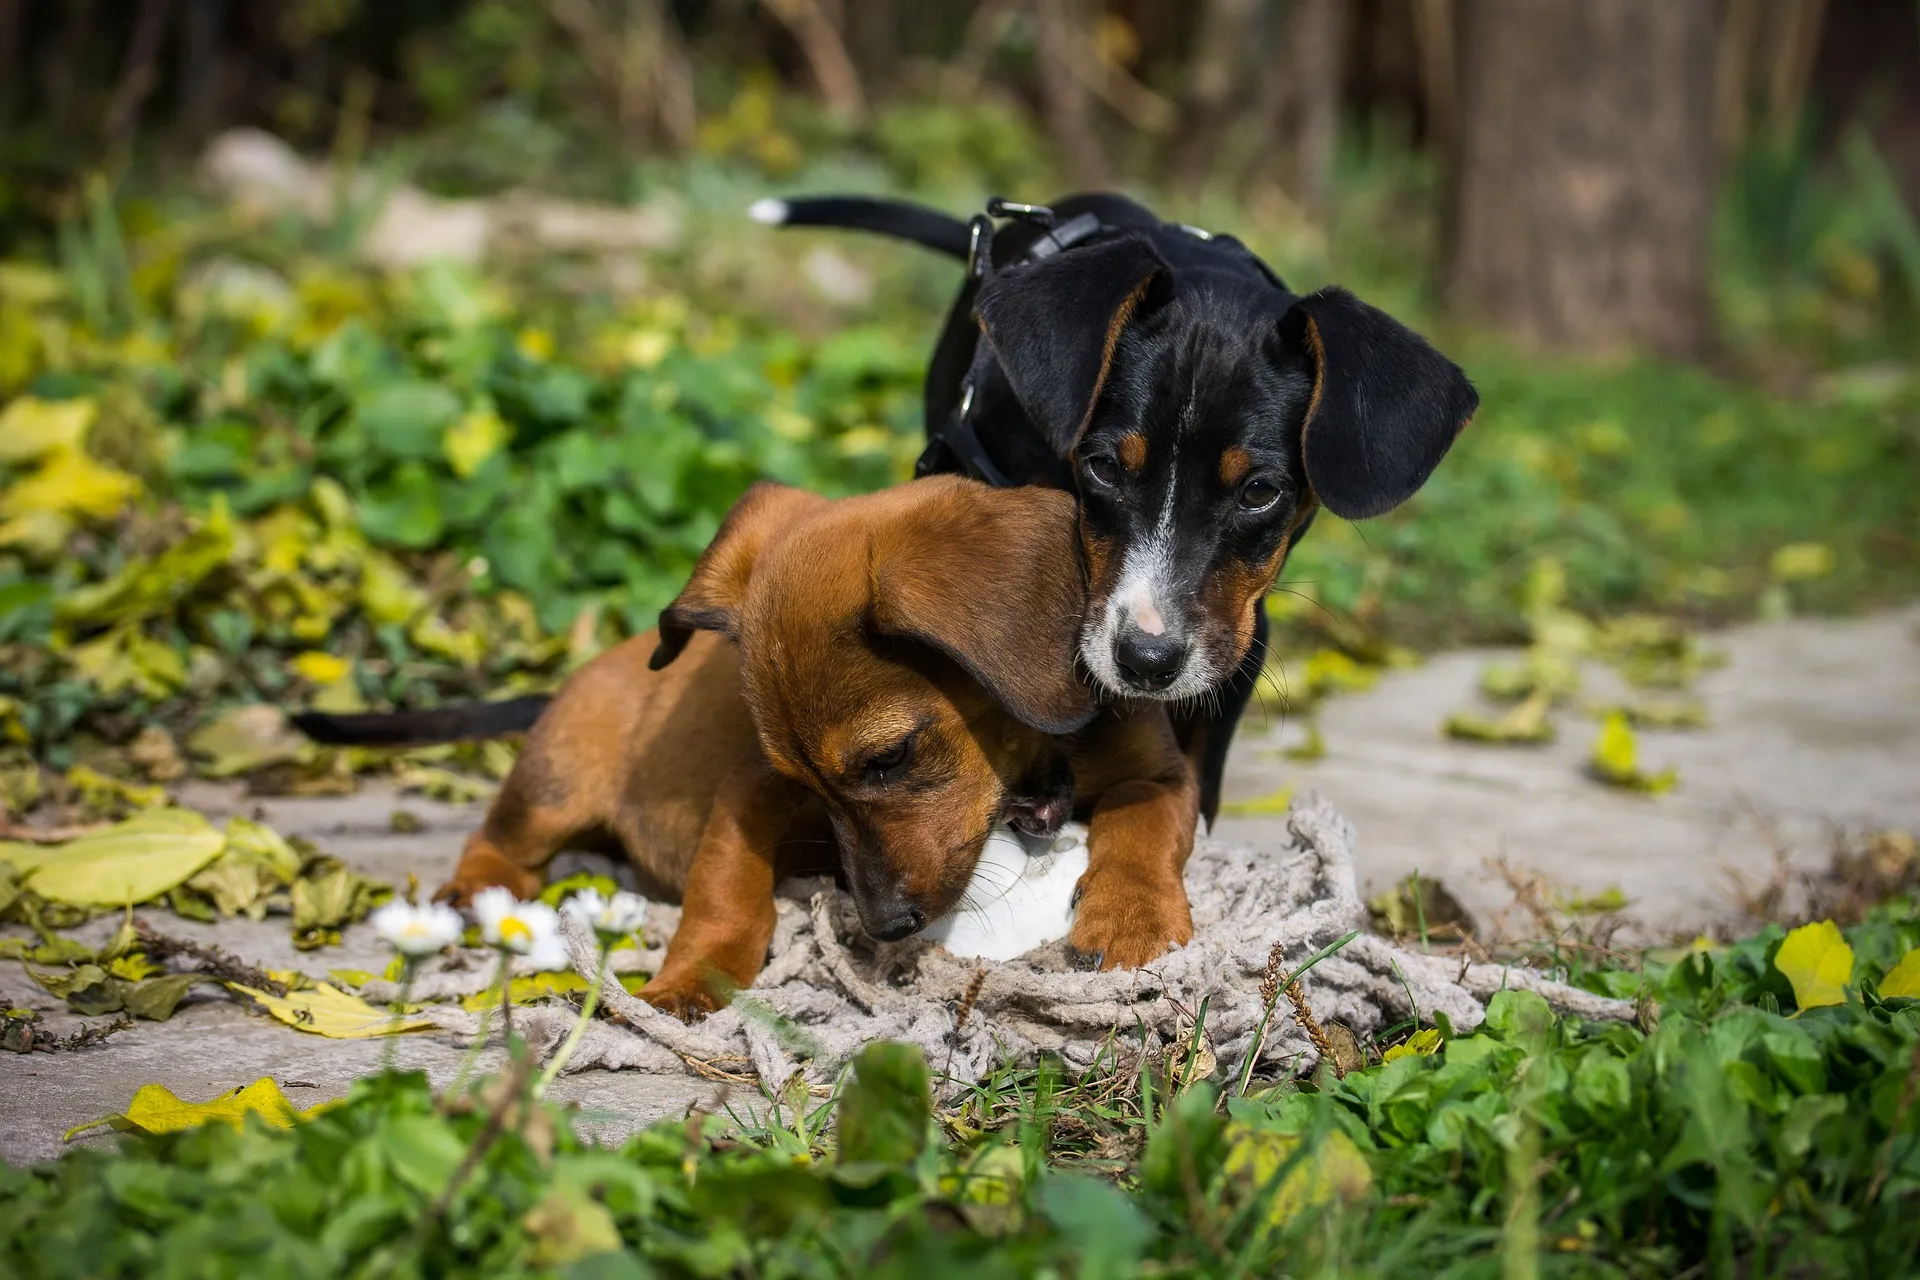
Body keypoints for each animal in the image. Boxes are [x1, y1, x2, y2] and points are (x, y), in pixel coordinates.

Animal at [299, 479, 1190, 1020]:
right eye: (812, 784)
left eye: (888, 759)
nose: (886, 926)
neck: (1032, 748)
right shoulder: (748, 793)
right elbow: (723, 892)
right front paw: (688, 980)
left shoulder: (1160, 772)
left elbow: (1142, 826)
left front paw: (1133, 915)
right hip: (553, 786)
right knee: (499, 839)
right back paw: (476, 894)